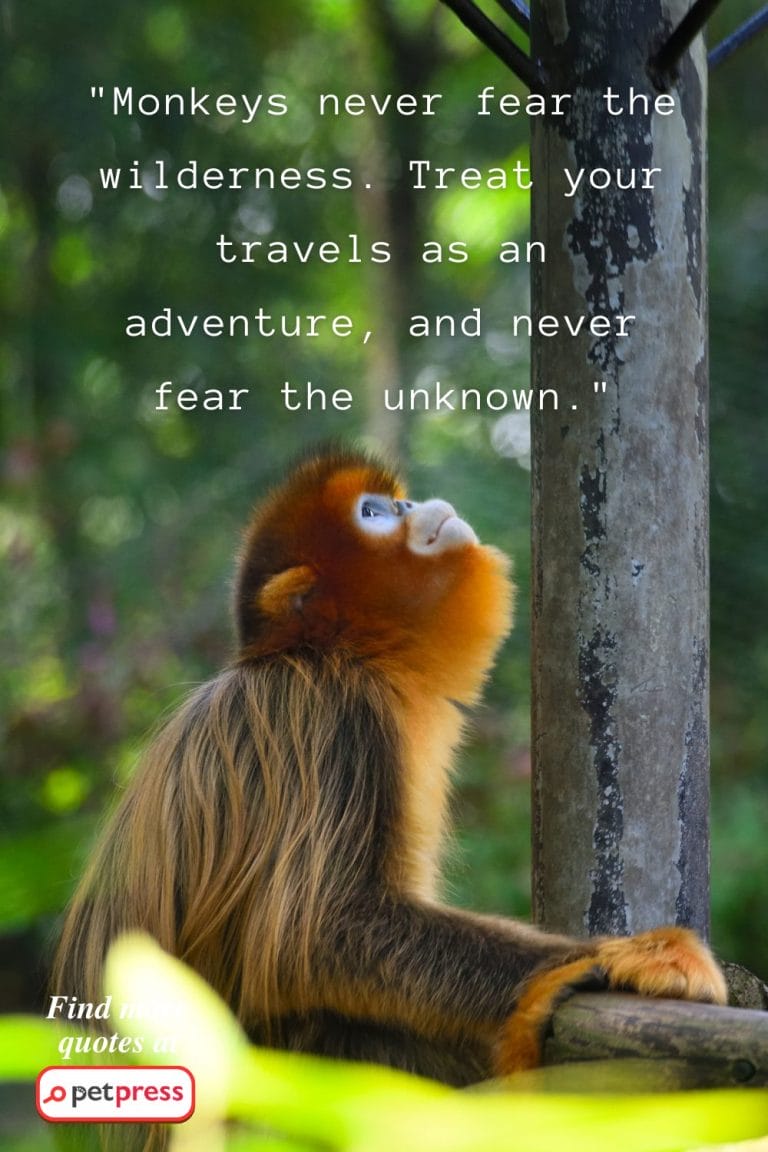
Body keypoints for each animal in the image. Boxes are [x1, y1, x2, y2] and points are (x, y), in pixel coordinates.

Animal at [53, 446, 726, 1090]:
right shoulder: (336, 720)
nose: (406, 508)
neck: (345, 653)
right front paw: (614, 960)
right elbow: (320, 930)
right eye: (372, 513)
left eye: (389, 503)